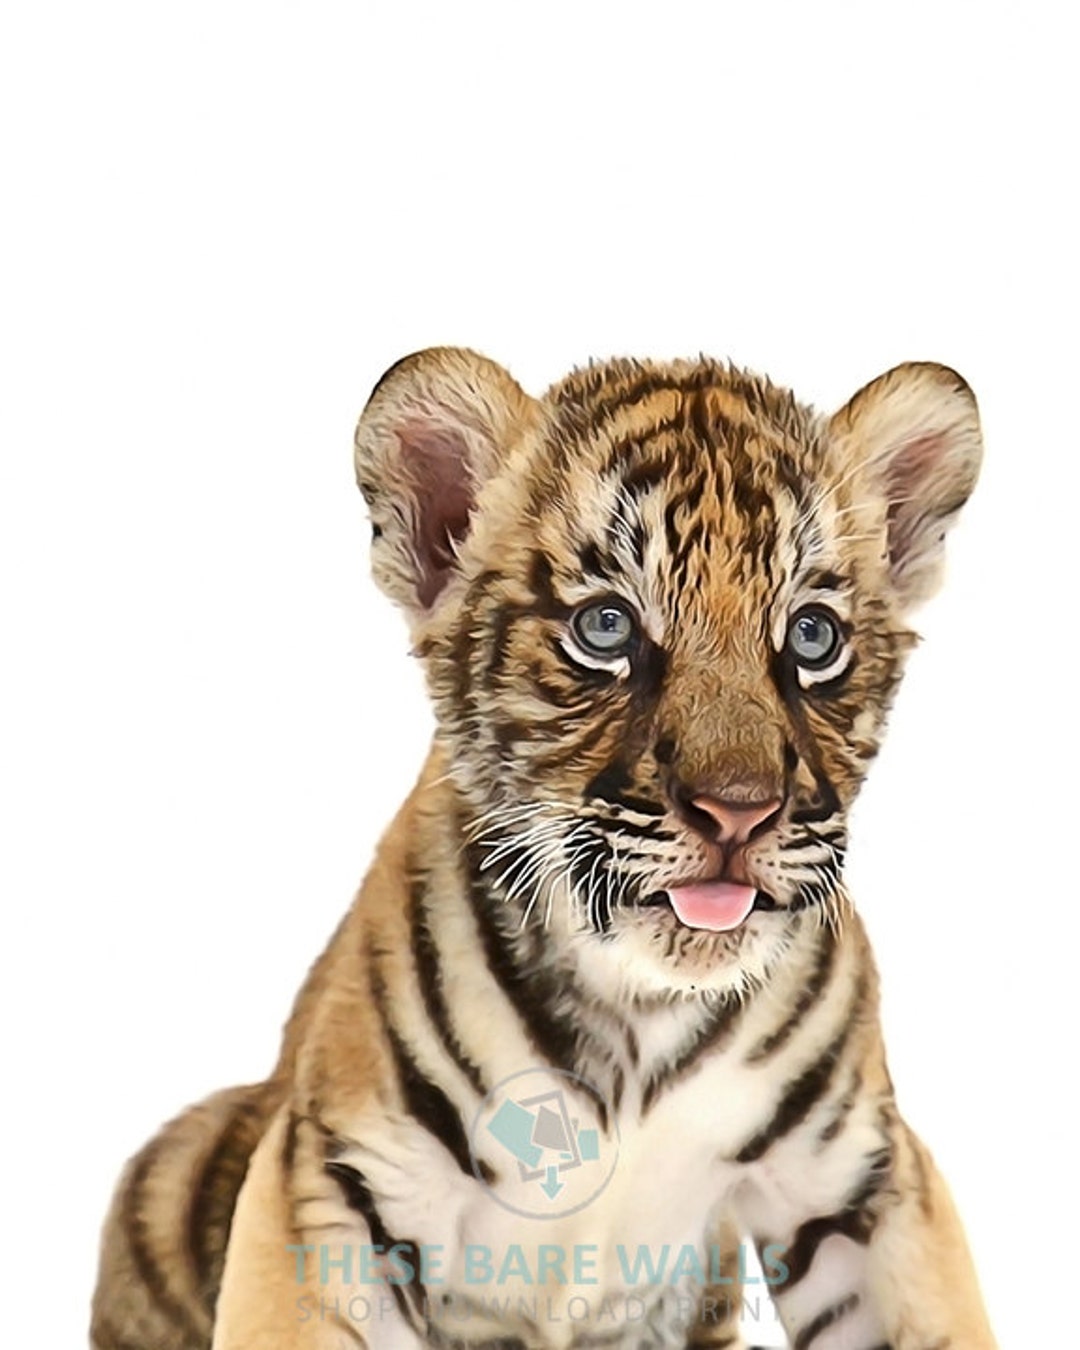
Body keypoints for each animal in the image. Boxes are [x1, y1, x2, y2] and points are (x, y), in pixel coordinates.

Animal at [91, 346, 998, 1350]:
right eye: (606, 627)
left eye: (812, 636)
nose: (739, 813)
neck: (642, 1011)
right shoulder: (332, 1179)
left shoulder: (861, 1180)